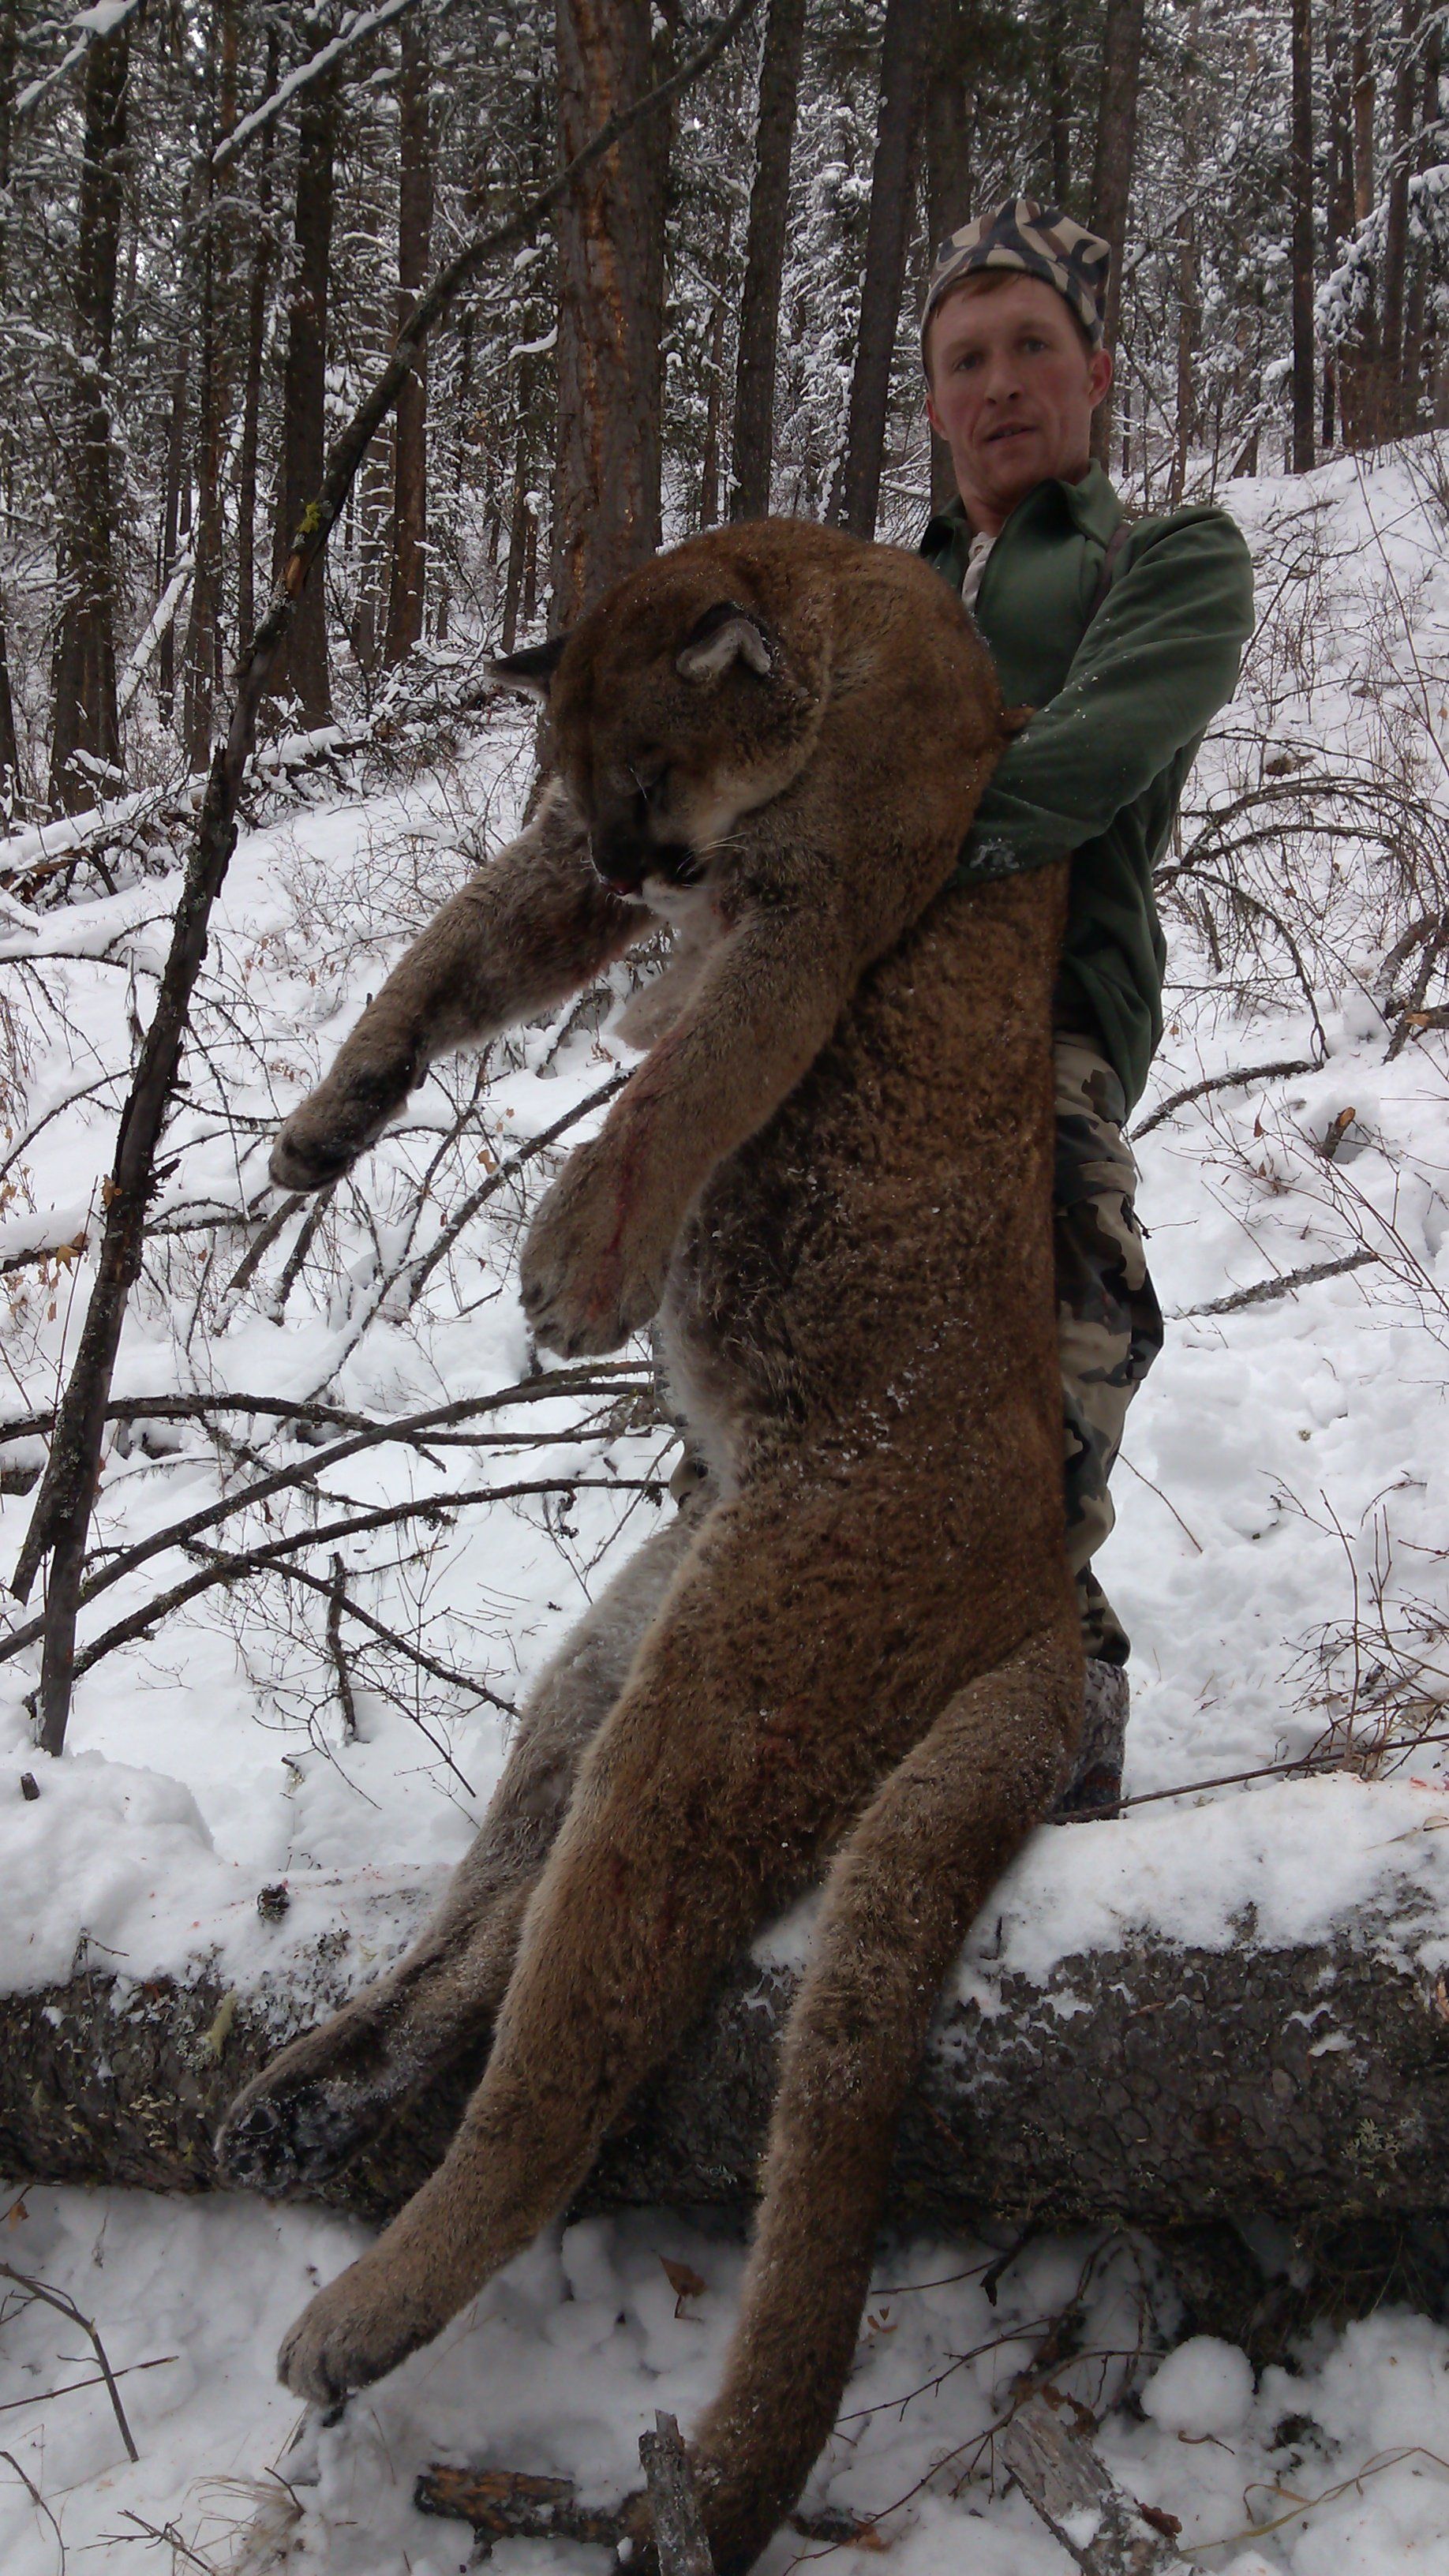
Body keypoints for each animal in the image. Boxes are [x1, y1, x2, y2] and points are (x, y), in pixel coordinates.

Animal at [219, 518, 1082, 2573]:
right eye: (573, 778)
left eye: (652, 773)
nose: (632, 864)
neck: (852, 610)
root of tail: (1050, 1577)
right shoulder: (560, 882)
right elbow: (448, 951)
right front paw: (323, 1126)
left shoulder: (827, 904)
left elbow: (686, 1078)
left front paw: (574, 1266)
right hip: (620, 1651)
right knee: (493, 1920)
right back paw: (316, 2089)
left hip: (734, 1687)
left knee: (573, 2048)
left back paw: (354, 2318)